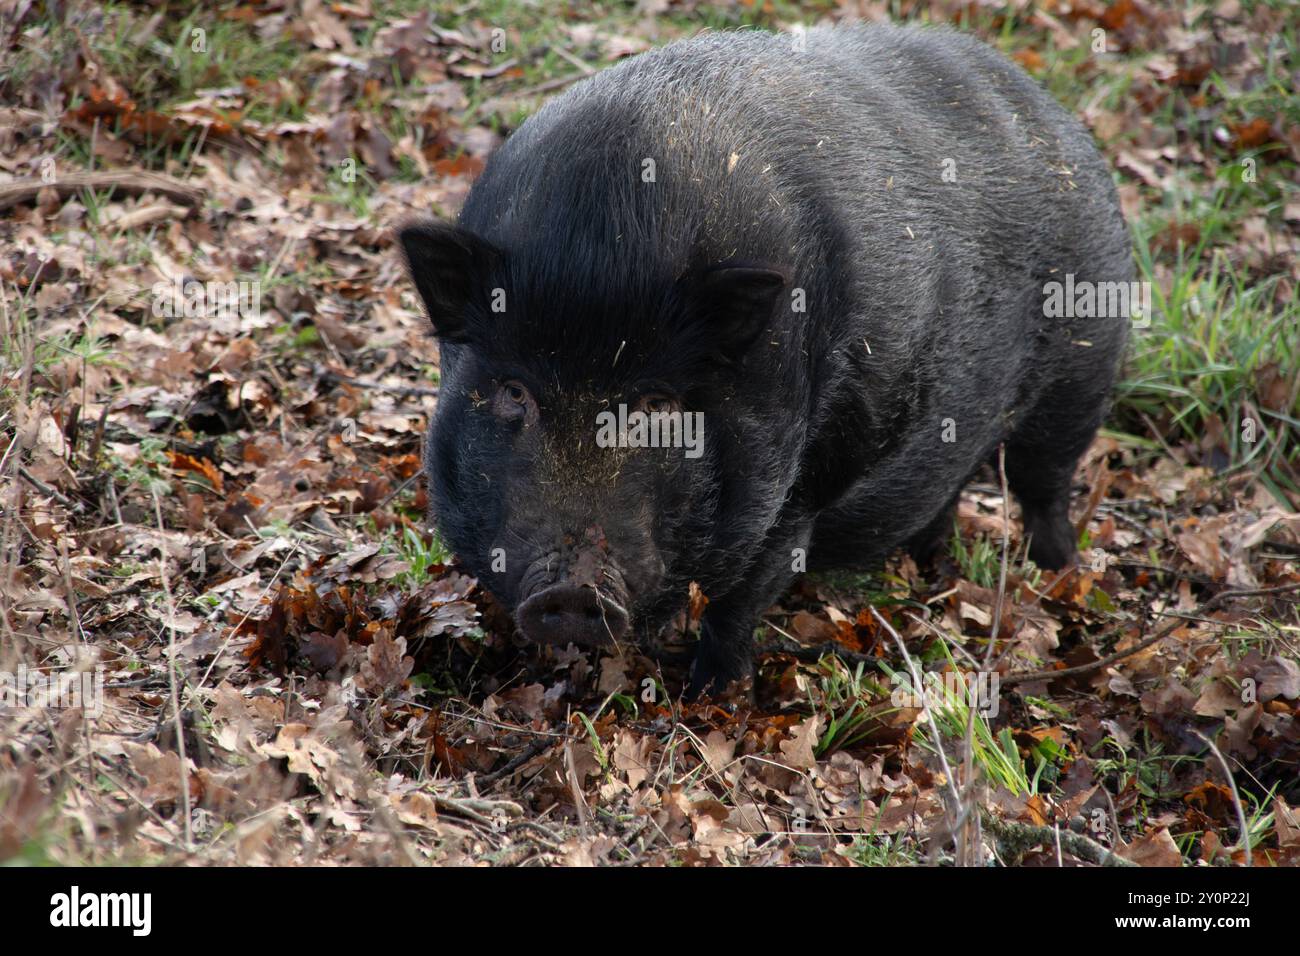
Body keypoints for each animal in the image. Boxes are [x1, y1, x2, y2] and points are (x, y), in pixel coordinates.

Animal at [398, 23, 1133, 695]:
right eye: (514, 392)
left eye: (660, 405)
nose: (571, 590)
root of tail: (1063, 123)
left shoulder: (802, 488)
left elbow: (739, 602)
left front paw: (711, 696)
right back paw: (931, 562)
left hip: (1085, 367)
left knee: (1045, 483)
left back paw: (1058, 573)